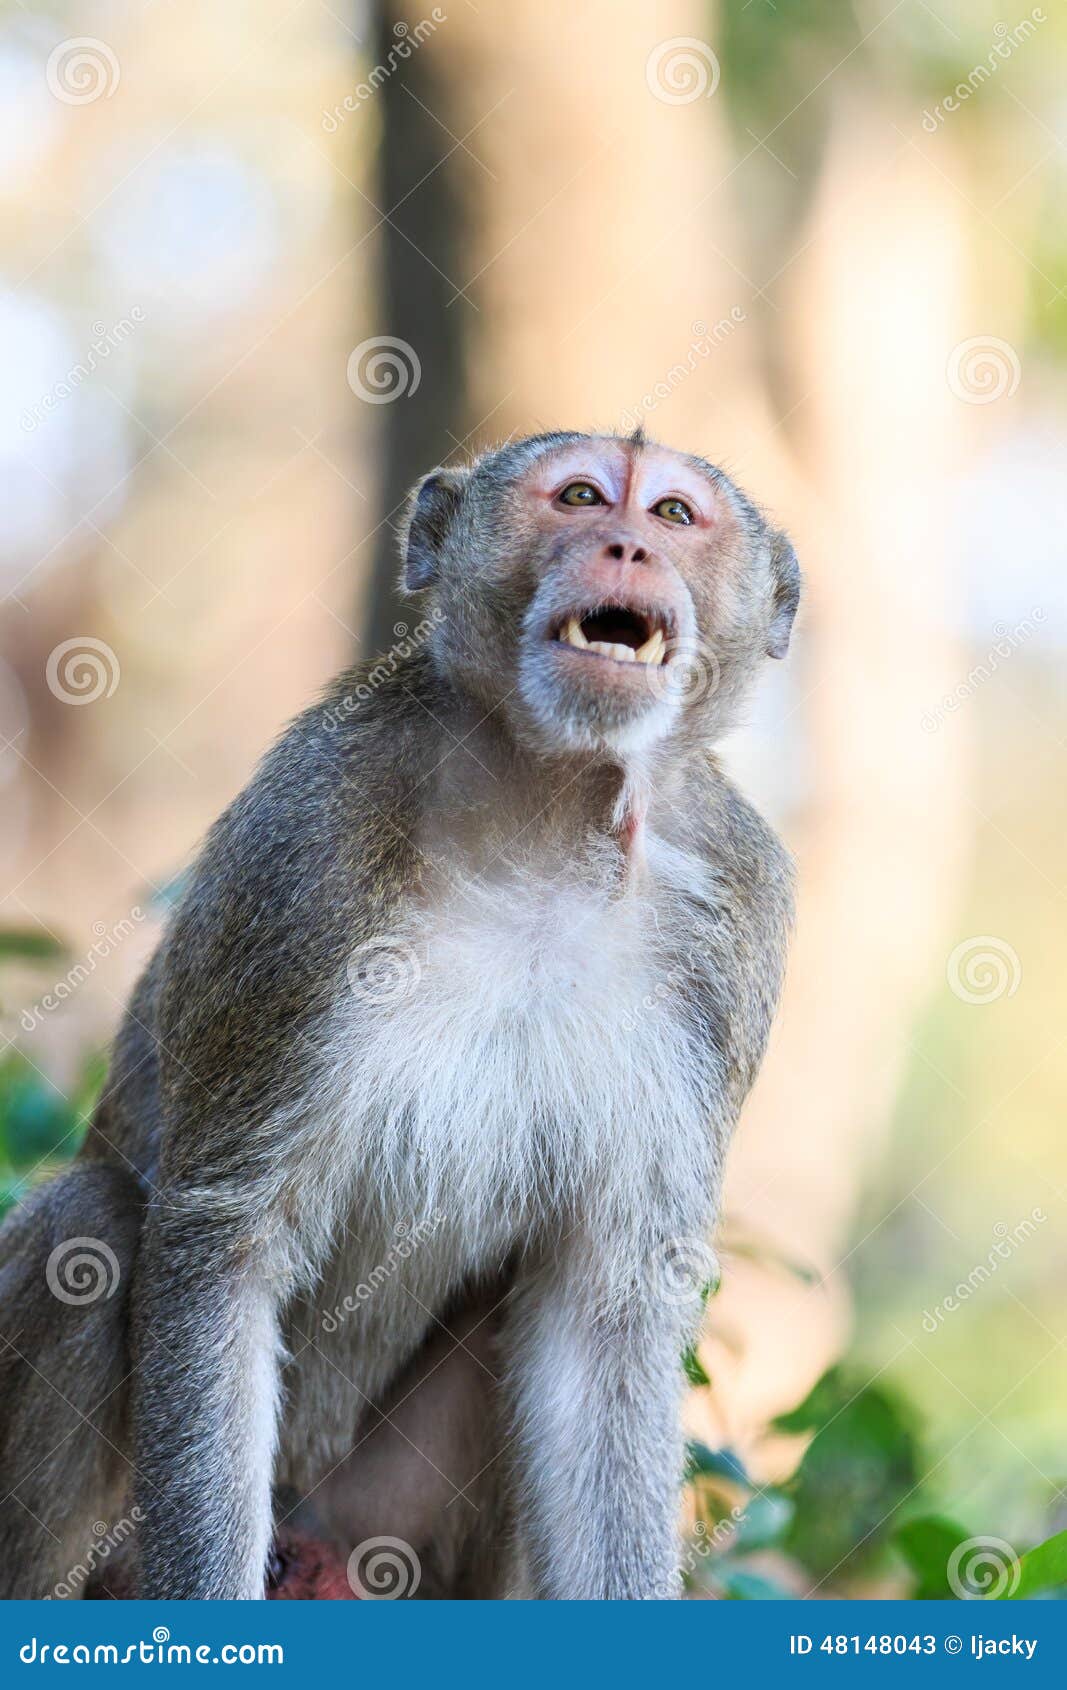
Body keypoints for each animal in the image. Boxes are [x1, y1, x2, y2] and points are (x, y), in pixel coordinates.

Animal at [0, 429, 800, 1600]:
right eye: (577, 495)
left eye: (671, 514)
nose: (627, 545)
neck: (545, 816)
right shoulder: (307, 844)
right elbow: (223, 1243)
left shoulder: (733, 929)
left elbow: (599, 1322)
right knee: (89, 1226)